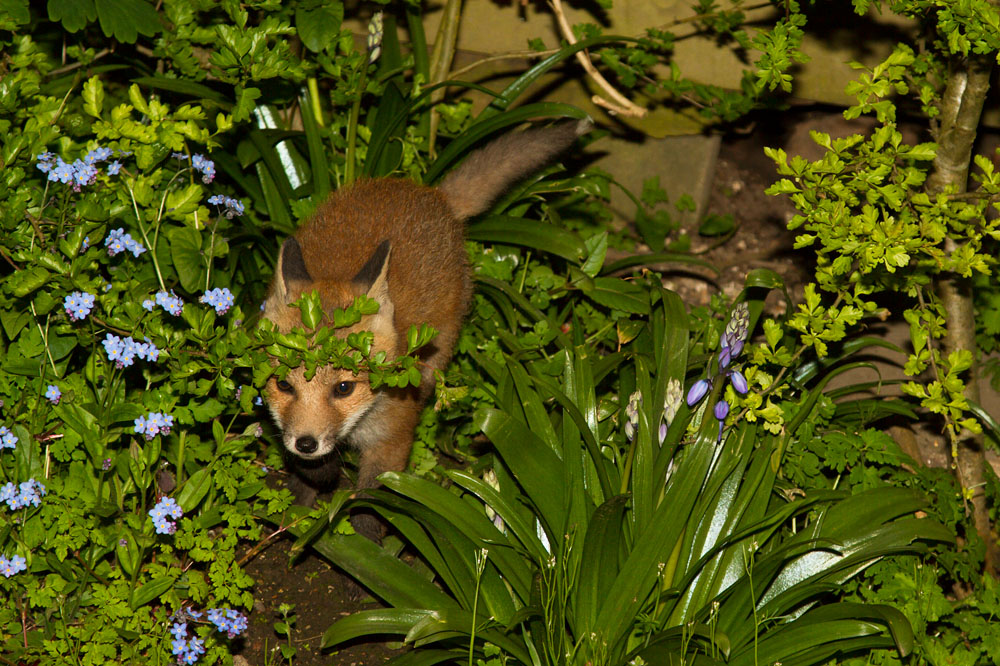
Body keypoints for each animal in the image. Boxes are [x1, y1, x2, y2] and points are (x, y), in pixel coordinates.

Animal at [262, 119, 590, 526]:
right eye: (283, 385)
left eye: (343, 388)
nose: (306, 443)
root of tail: (431, 193)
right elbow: (309, 466)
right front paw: (316, 477)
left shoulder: (391, 441)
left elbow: (371, 509)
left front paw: (363, 541)